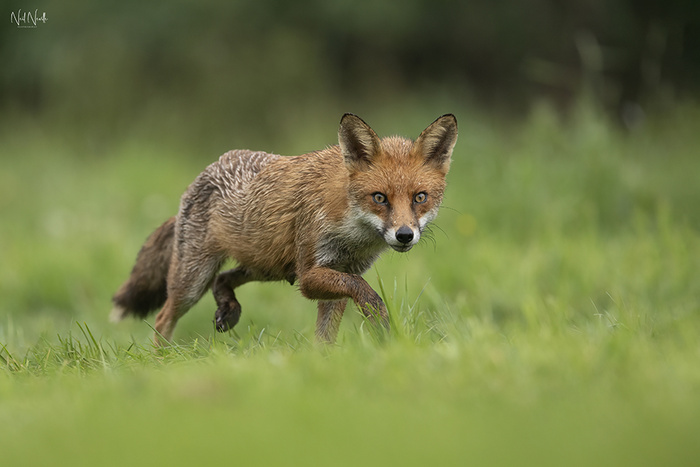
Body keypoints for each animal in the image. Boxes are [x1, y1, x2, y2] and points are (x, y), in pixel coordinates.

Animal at [111, 113, 458, 344]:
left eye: (419, 197)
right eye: (380, 198)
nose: (404, 235)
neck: (352, 232)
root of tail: (197, 179)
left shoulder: (341, 272)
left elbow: (325, 337)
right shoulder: (310, 274)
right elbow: (365, 292)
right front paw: (381, 323)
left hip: (267, 266)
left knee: (225, 279)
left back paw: (228, 308)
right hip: (193, 280)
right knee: (163, 318)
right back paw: (162, 361)